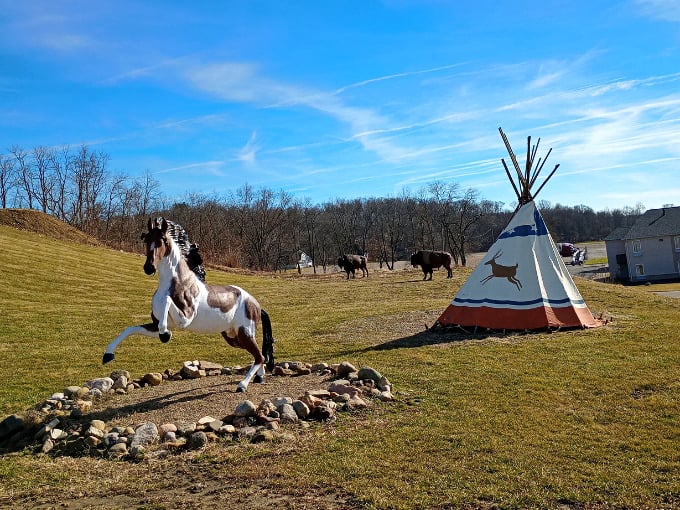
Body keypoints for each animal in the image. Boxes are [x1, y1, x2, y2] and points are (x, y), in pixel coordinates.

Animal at [103, 217, 275, 392]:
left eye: (162, 240)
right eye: (146, 240)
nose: (148, 268)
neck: (176, 284)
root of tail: (256, 304)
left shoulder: (185, 319)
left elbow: (167, 301)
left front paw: (166, 335)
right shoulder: (155, 325)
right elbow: (130, 329)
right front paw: (108, 356)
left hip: (244, 332)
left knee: (259, 356)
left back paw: (242, 385)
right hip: (233, 337)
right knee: (260, 356)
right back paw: (259, 378)